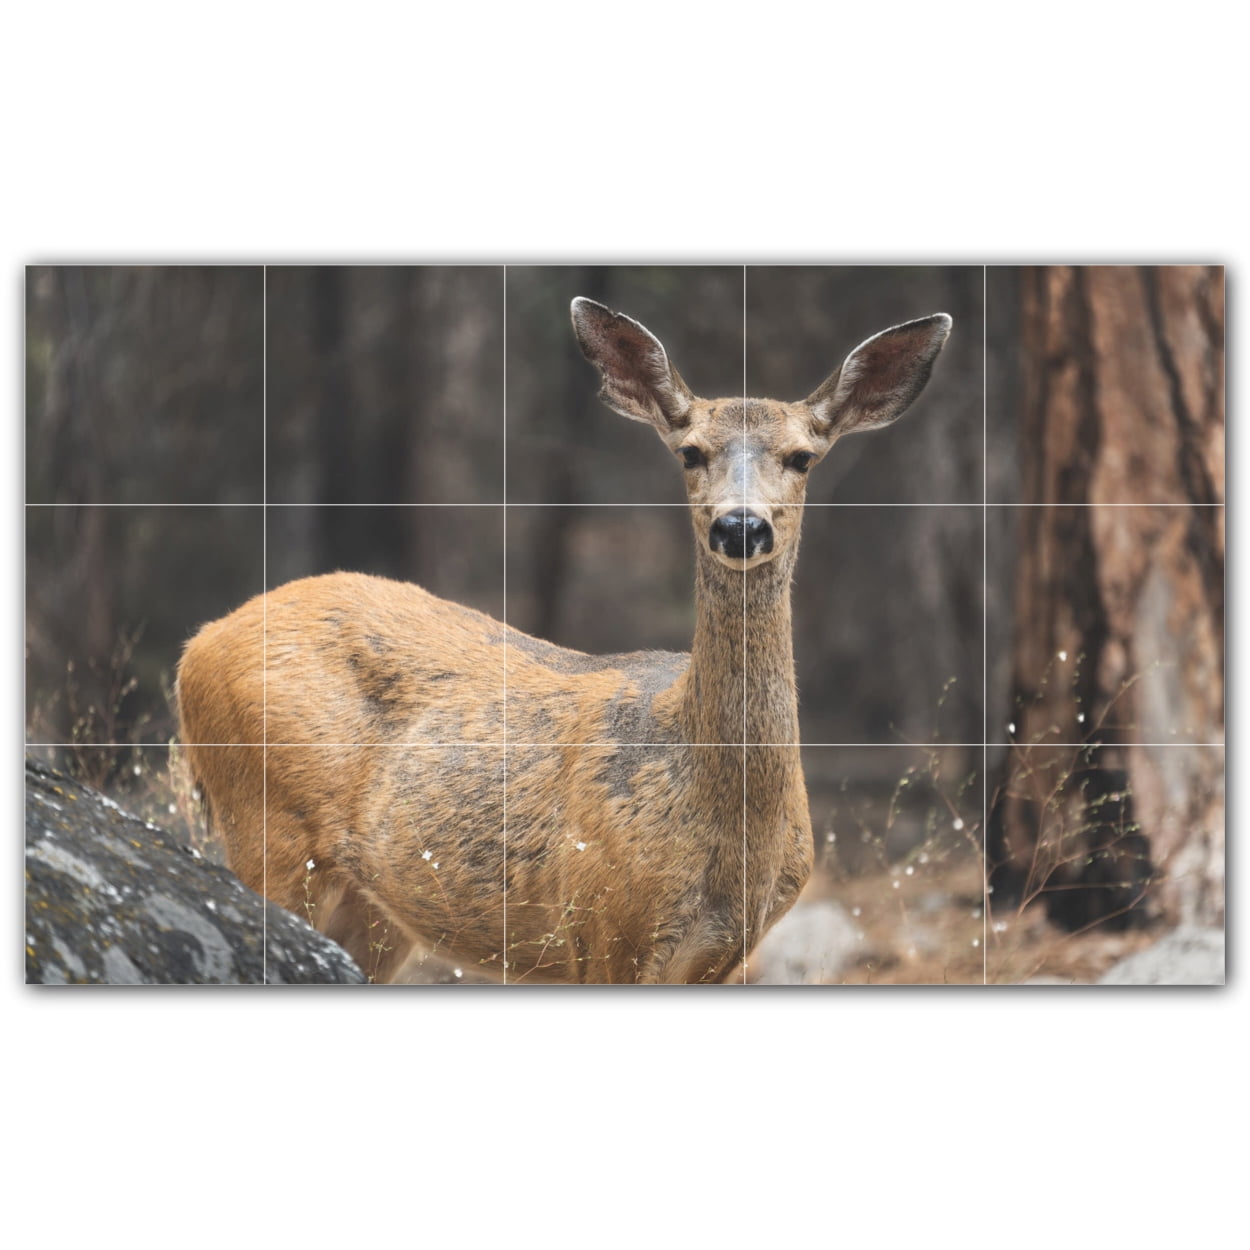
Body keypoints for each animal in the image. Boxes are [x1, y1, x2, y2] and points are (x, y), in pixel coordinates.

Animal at [176, 296, 951, 983]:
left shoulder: (725, 953)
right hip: (267, 827)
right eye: (690, 452)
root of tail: (197, 644)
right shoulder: (604, 923)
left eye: (801, 457)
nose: (740, 526)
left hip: (376, 905)